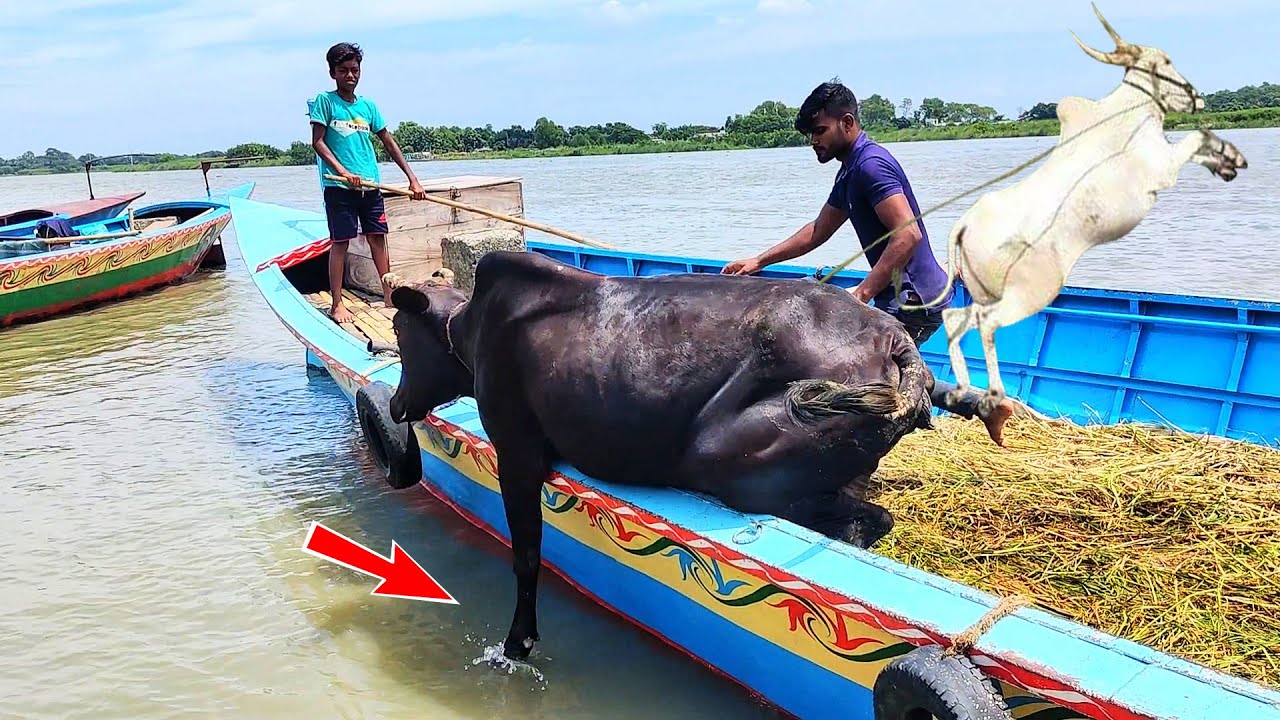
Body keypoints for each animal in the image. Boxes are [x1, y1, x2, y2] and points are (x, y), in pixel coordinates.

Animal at [384, 249, 936, 661]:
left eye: (399, 333)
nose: (395, 404)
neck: (470, 328)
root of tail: (895, 340)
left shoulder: (516, 450)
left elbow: (526, 556)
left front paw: (516, 644)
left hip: (724, 456)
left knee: (868, 519)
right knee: (872, 517)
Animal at [901, 3, 1248, 416]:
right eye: (1166, 60)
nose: (1197, 97)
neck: (1131, 113)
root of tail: (964, 226)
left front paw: (1229, 161)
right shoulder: (1159, 170)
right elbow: (1197, 137)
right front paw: (1227, 155)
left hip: (985, 291)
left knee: (958, 320)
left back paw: (962, 391)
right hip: (1032, 293)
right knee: (986, 325)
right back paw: (994, 395)